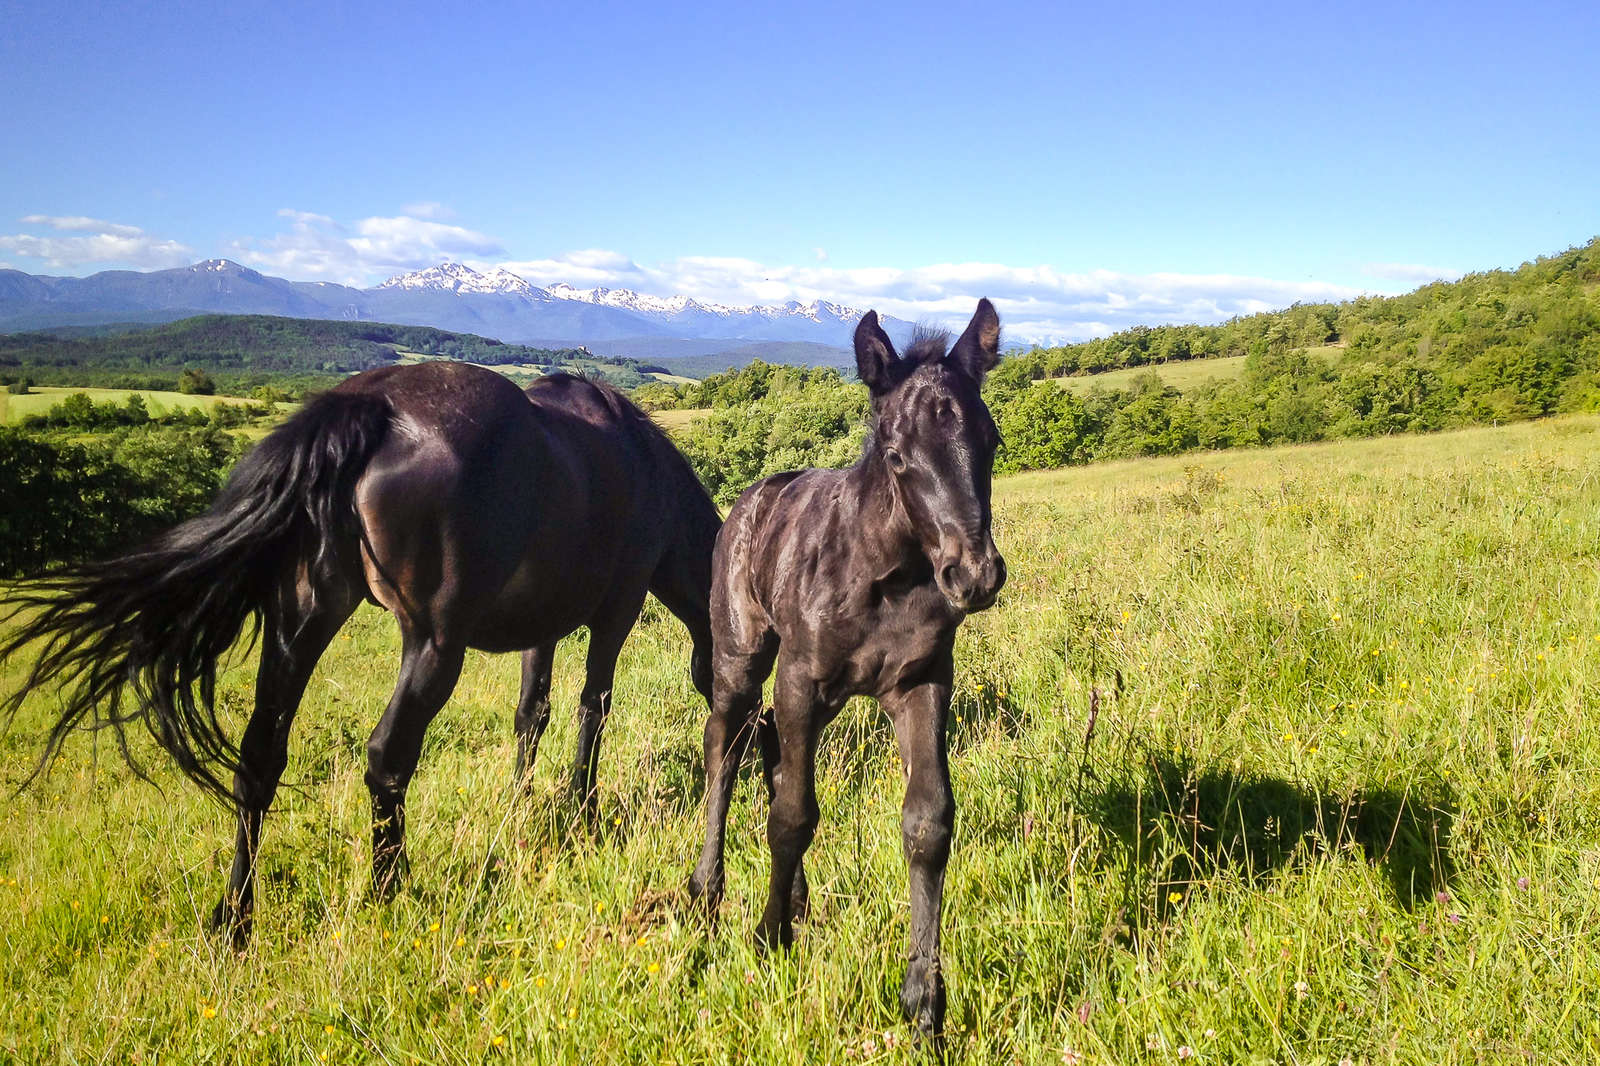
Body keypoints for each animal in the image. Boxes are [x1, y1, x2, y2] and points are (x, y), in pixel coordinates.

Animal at [0, 362, 721, 947]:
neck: (641, 465)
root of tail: (367, 409)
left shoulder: (543, 624)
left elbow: (531, 714)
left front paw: (524, 807)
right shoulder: (614, 611)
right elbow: (591, 710)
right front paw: (579, 816)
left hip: (303, 622)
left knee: (259, 761)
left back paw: (235, 922)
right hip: (432, 644)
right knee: (387, 757)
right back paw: (389, 889)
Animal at [688, 300, 1007, 1036]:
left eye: (992, 440)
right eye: (895, 454)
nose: (974, 576)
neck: (887, 573)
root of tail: (752, 496)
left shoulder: (922, 682)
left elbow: (927, 822)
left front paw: (924, 1002)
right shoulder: (801, 679)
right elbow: (791, 818)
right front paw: (768, 940)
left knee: (770, 750)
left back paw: (796, 901)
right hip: (742, 657)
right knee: (726, 747)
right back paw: (706, 892)